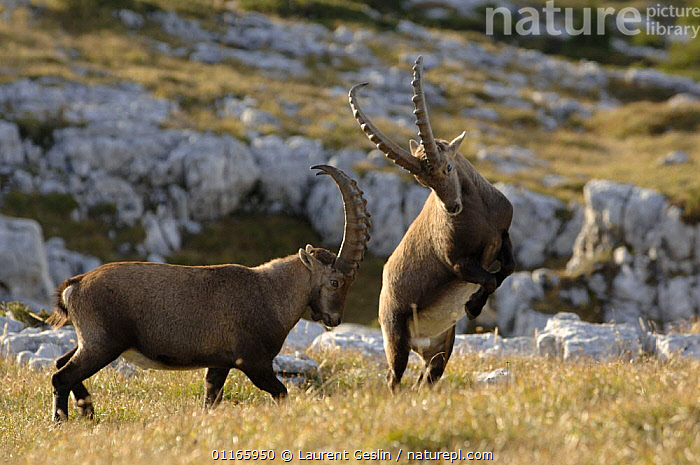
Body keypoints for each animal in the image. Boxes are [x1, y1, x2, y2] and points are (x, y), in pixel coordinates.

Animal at [47, 165, 371, 421]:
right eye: (335, 282)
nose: (334, 319)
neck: (272, 294)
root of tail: (75, 284)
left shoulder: (219, 363)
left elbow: (210, 398)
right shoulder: (252, 362)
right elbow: (280, 392)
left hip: (92, 341)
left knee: (62, 363)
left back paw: (88, 411)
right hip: (103, 343)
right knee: (61, 375)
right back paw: (62, 421)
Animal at [349, 56, 515, 390]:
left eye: (448, 166)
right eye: (422, 180)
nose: (451, 208)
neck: (481, 216)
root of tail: (420, 343)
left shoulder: (503, 234)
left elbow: (508, 268)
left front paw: (475, 304)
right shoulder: (458, 262)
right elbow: (489, 279)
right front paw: (473, 307)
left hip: (442, 346)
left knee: (427, 376)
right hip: (395, 335)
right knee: (394, 377)